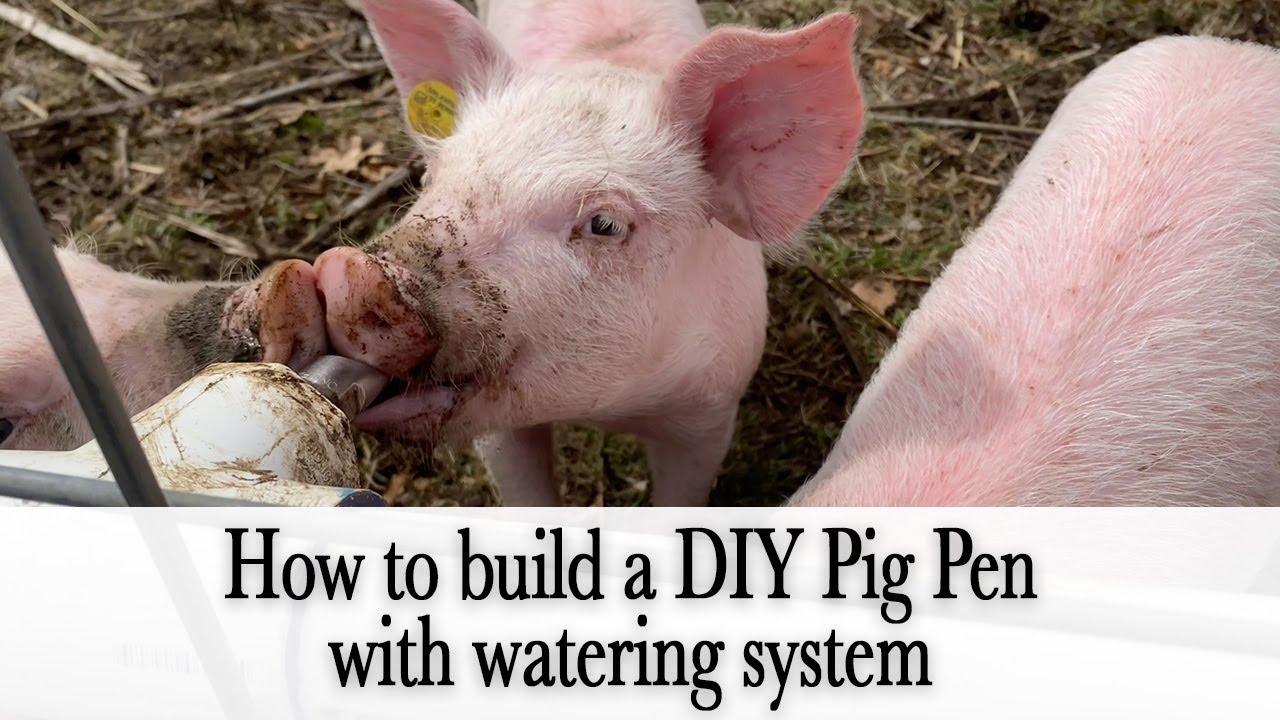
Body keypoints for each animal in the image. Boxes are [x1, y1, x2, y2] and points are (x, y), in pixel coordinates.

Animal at [302, 0, 866, 505]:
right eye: (432, 177)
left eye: (605, 224)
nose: (355, 270)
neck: (608, 408)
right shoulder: (500, 431)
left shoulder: (710, 411)